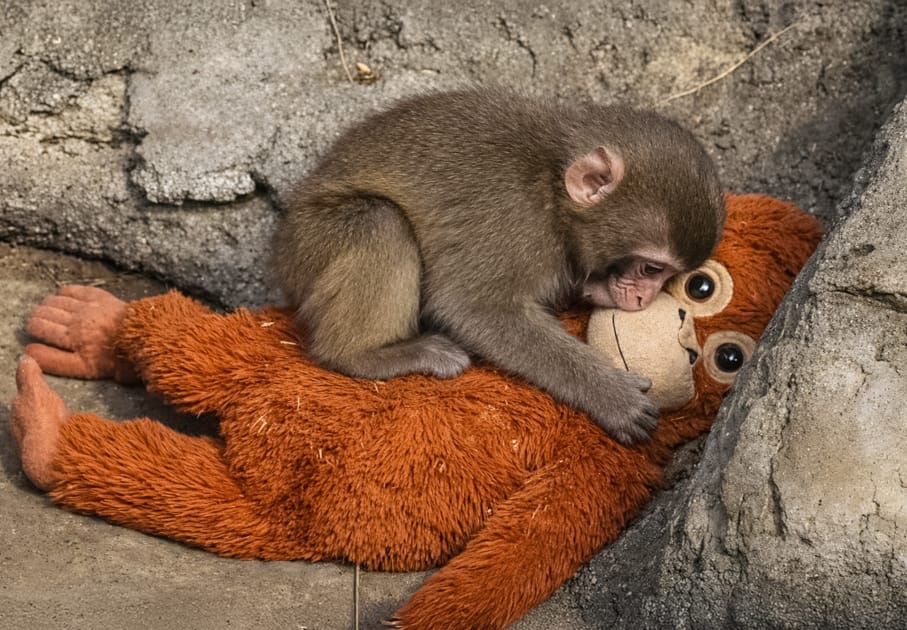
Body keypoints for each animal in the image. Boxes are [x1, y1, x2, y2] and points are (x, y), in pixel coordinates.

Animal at [272, 87, 724, 444]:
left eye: (669, 275)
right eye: (650, 268)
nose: (644, 297)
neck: (552, 188)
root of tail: (284, 250)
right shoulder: (514, 223)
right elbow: (472, 307)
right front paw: (609, 393)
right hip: (312, 244)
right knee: (381, 224)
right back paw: (361, 355)